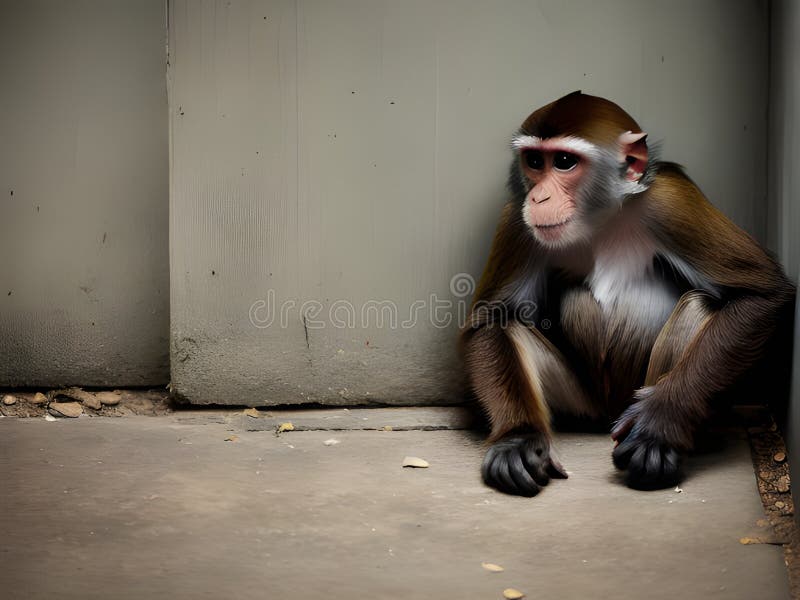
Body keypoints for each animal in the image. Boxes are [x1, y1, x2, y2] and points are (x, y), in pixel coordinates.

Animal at [461, 91, 794, 496]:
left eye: (565, 162)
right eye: (535, 161)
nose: (538, 198)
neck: (602, 218)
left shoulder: (671, 201)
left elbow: (761, 293)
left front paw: (657, 426)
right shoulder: (517, 218)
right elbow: (491, 319)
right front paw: (518, 439)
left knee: (700, 304)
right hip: (585, 403)